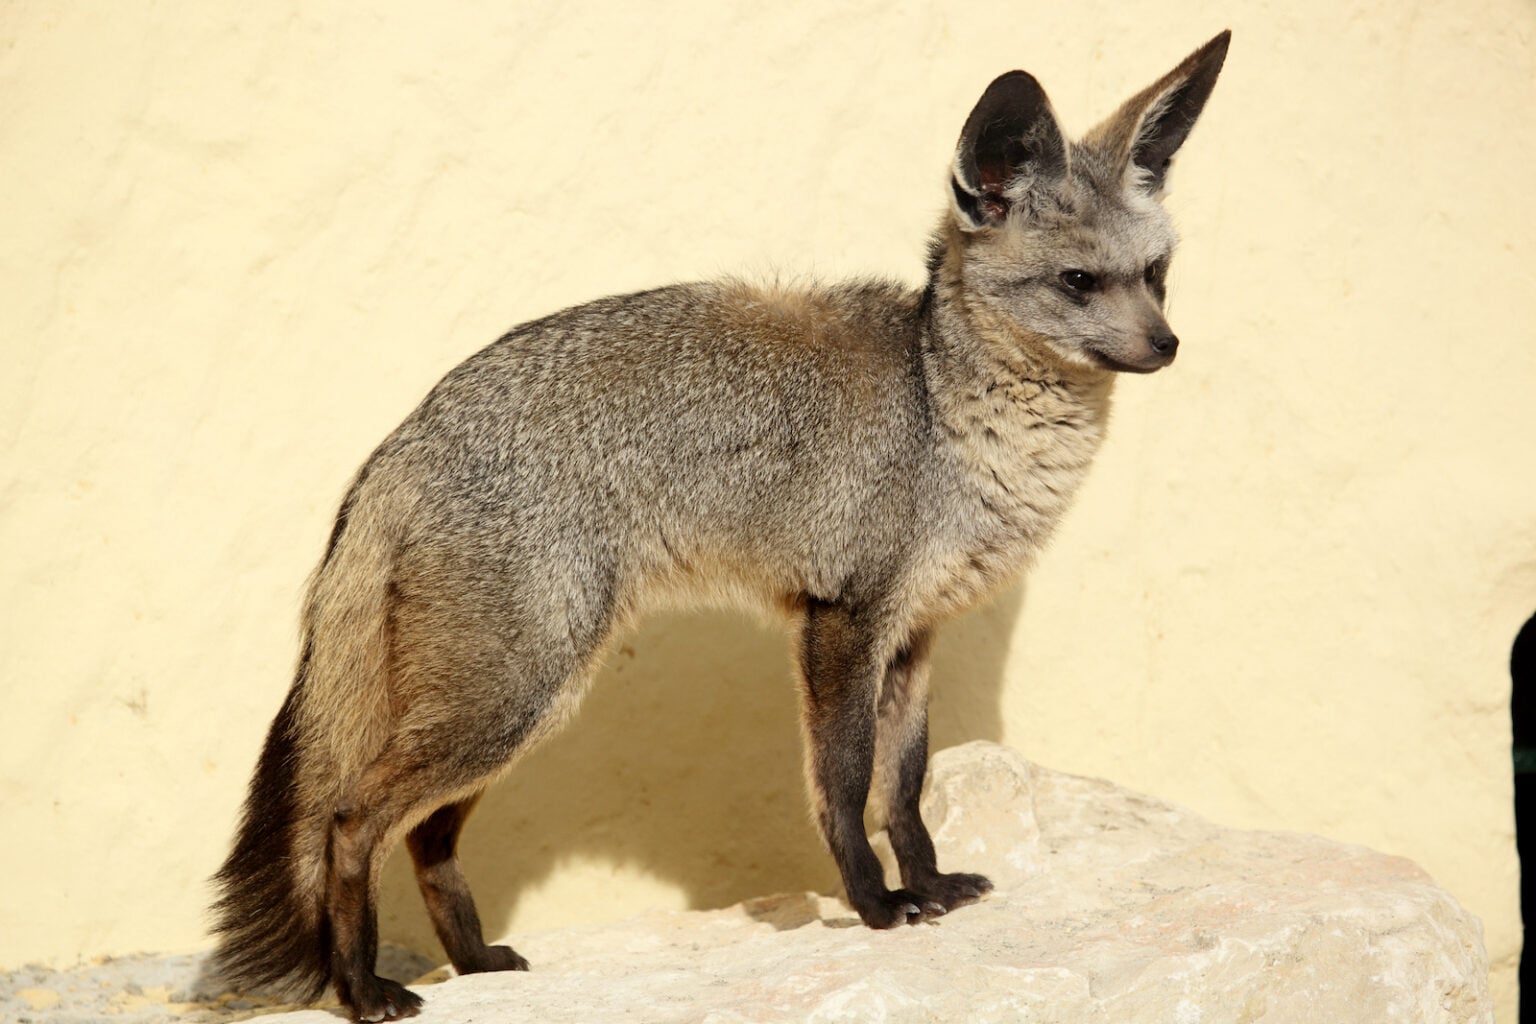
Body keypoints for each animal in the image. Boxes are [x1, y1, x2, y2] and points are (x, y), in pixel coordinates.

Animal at [210, 32, 1230, 1022]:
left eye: (1157, 276)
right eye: (1078, 281)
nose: (1170, 346)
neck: (941, 404)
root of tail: (405, 434)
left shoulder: (913, 636)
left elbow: (904, 790)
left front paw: (930, 888)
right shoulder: (843, 620)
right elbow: (846, 786)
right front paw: (875, 905)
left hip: (512, 710)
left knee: (424, 838)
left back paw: (478, 967)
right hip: (512, 698)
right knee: (348, 823)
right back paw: (362, 991)